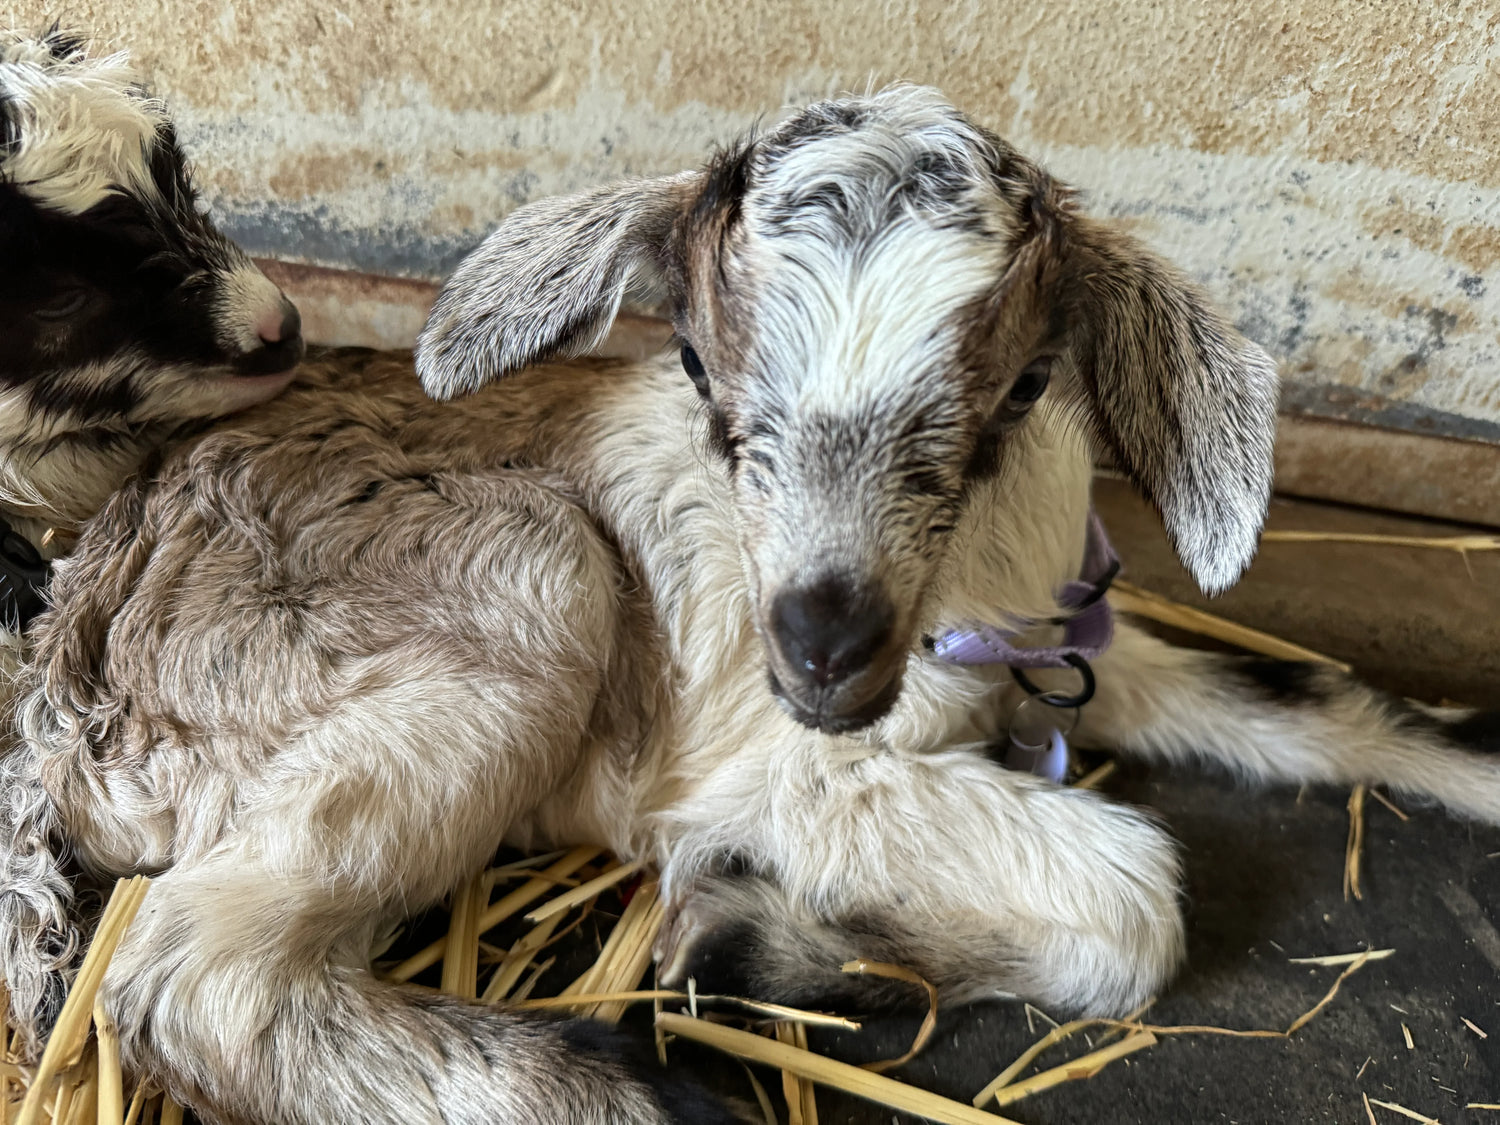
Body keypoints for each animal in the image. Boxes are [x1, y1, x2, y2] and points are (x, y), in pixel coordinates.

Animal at [2, 31, 1497, 1125]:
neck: (964, 624)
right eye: (701, 371)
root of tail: (71, 664)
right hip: (518, 590)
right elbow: (1139, 899)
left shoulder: (1074, 629)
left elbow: (1308, 698)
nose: (822, 645)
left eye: (1021, 389)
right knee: (196, 979)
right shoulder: (766, 772)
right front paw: (741, 940)